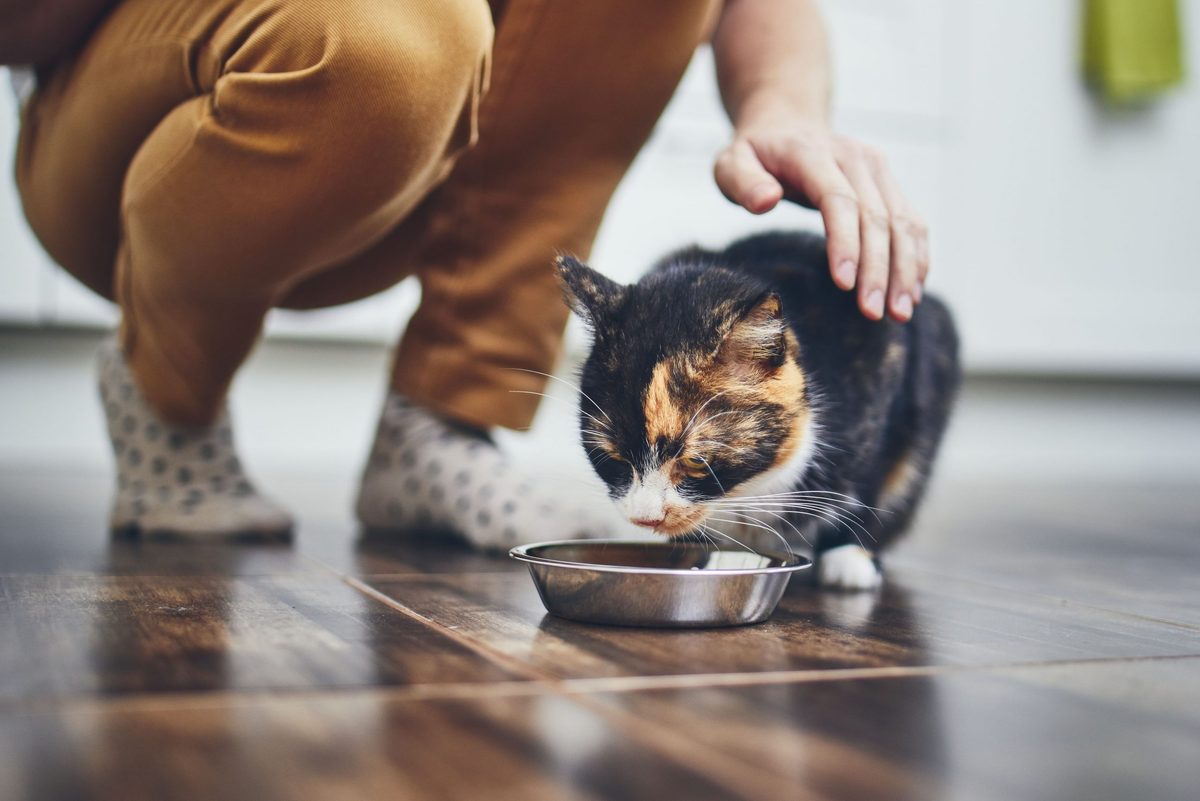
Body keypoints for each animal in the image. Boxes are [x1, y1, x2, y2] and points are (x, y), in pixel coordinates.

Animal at [556, 230, 960, 587]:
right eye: (613, 457)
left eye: (696, 461)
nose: (646, 518)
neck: (746, 492)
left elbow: (868, 480)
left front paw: (849, 555)